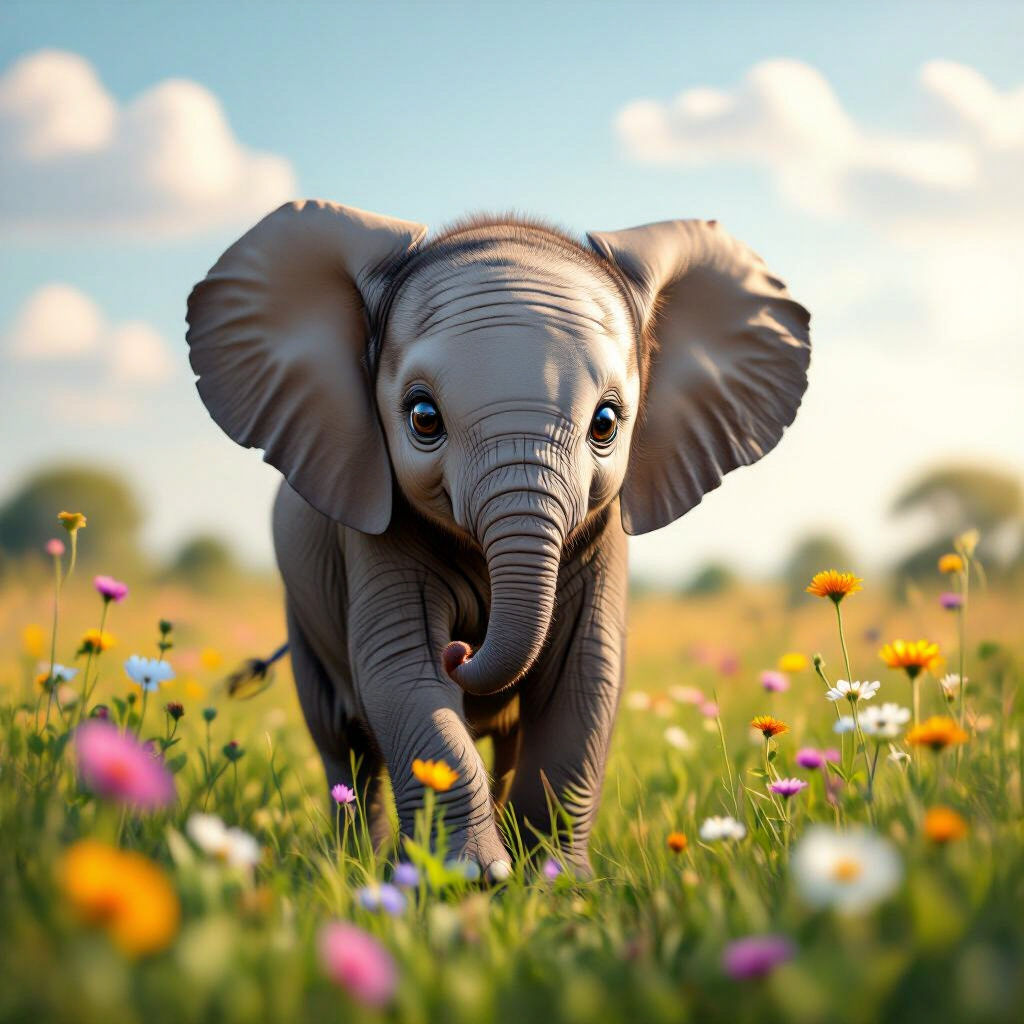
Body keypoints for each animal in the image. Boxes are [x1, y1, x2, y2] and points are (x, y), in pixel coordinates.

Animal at [186, 200, 810, 881]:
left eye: (607, 423)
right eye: (423, 418)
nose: (463, 649)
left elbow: (584, 677)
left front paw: (555, 884)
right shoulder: (372, 533)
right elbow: (401, 668)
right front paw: (470, 879)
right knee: (342, 746)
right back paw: (360, 867)